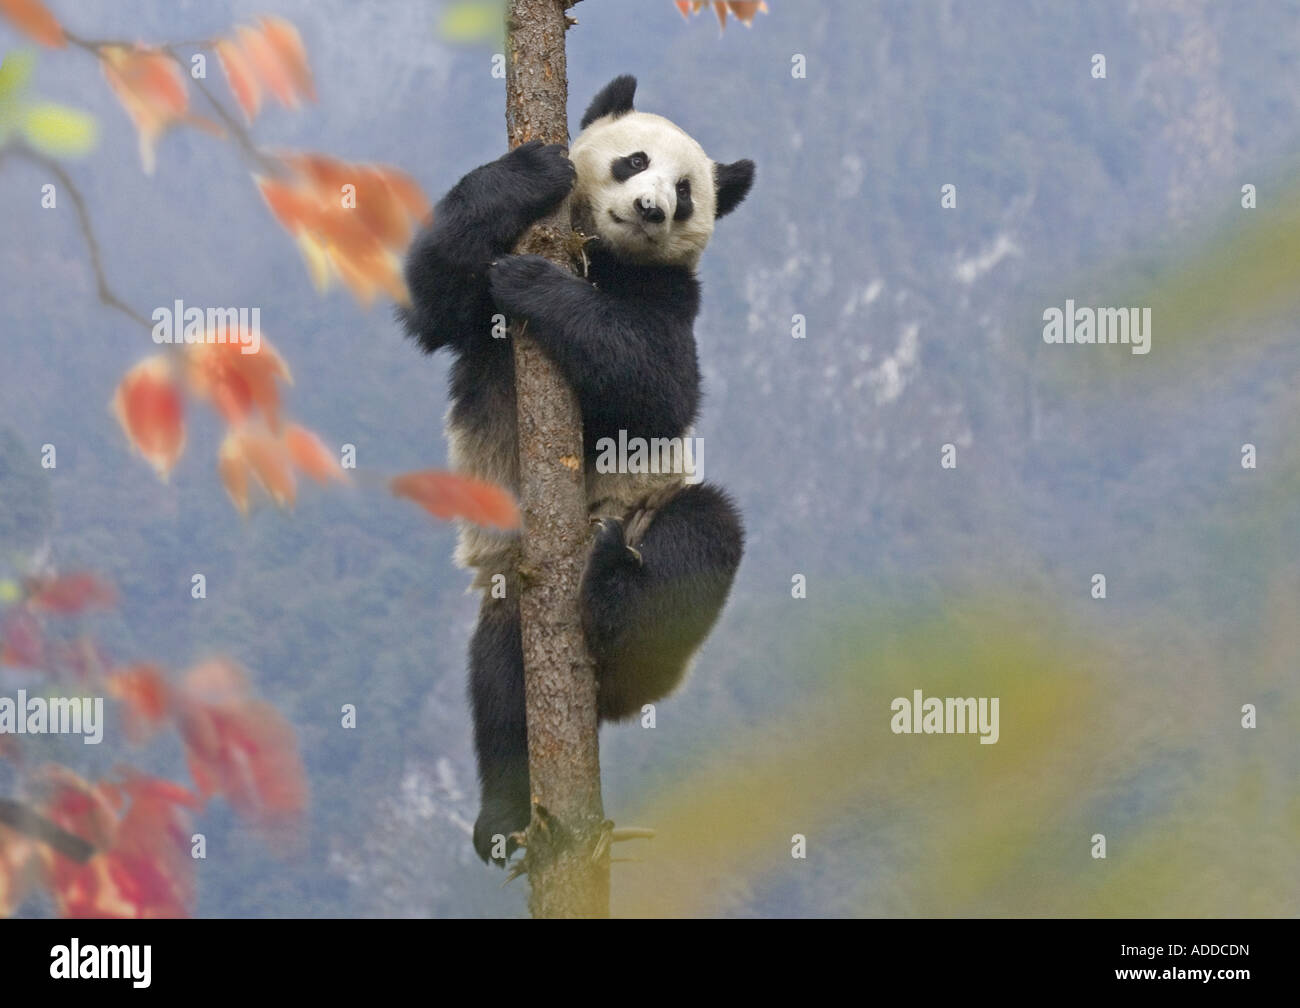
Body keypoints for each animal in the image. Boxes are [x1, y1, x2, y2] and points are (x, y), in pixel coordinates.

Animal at [401, 75, 754, 864]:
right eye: (635, 161)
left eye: (685, 193)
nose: (650, 209)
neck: (605, 254)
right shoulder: (470, 316)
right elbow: (432, 298)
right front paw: (529, 173)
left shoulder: (672, 299)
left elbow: (659, 388)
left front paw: (535, 283)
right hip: (515, 588)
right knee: (501, 685)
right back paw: (507, 817)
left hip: (652, 511)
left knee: (702, 540)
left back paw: (614, 596)